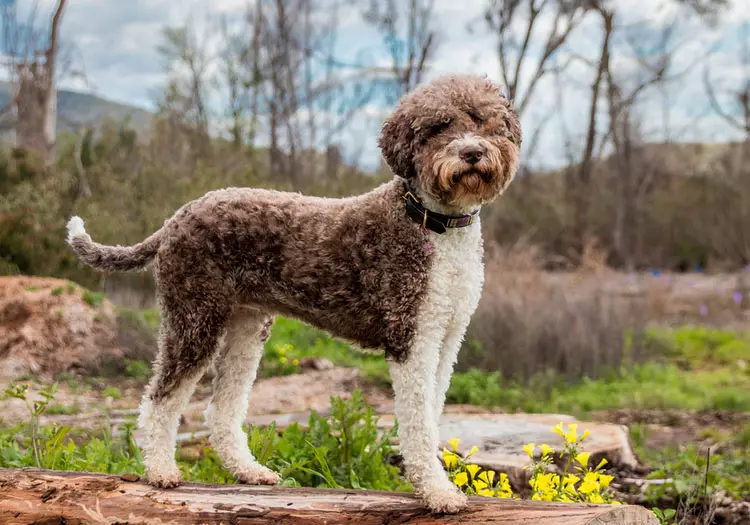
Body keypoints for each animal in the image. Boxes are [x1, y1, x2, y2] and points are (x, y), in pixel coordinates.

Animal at [66, 73, 524, 512]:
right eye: (438, 127)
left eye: (484, 121)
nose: (472, 153)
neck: (431, 222)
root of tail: (173, 220)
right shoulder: (412, 338)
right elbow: (417, 424)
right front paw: (438, 493)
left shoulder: (446, 338)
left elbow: (431, 413)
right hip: (194, 319)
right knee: (160, 400)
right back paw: (160, 471)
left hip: (247, 328)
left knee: (221, 409)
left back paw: (249, 472)